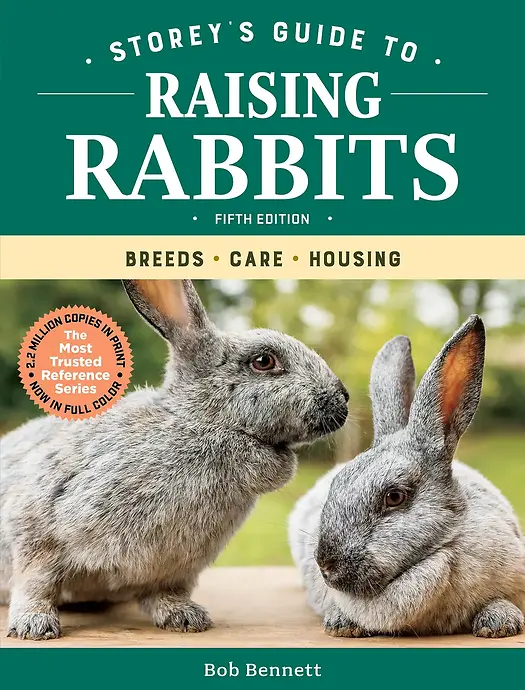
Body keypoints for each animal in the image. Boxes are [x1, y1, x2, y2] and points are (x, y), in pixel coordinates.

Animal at [0, 279, 349, 640]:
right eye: (264, 361)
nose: (344, 398)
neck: (203, 424)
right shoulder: (37, 524)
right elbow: (35, 583)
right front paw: (33, 625)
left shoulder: (174, 569)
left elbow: (164, 593)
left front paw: (184, 617)